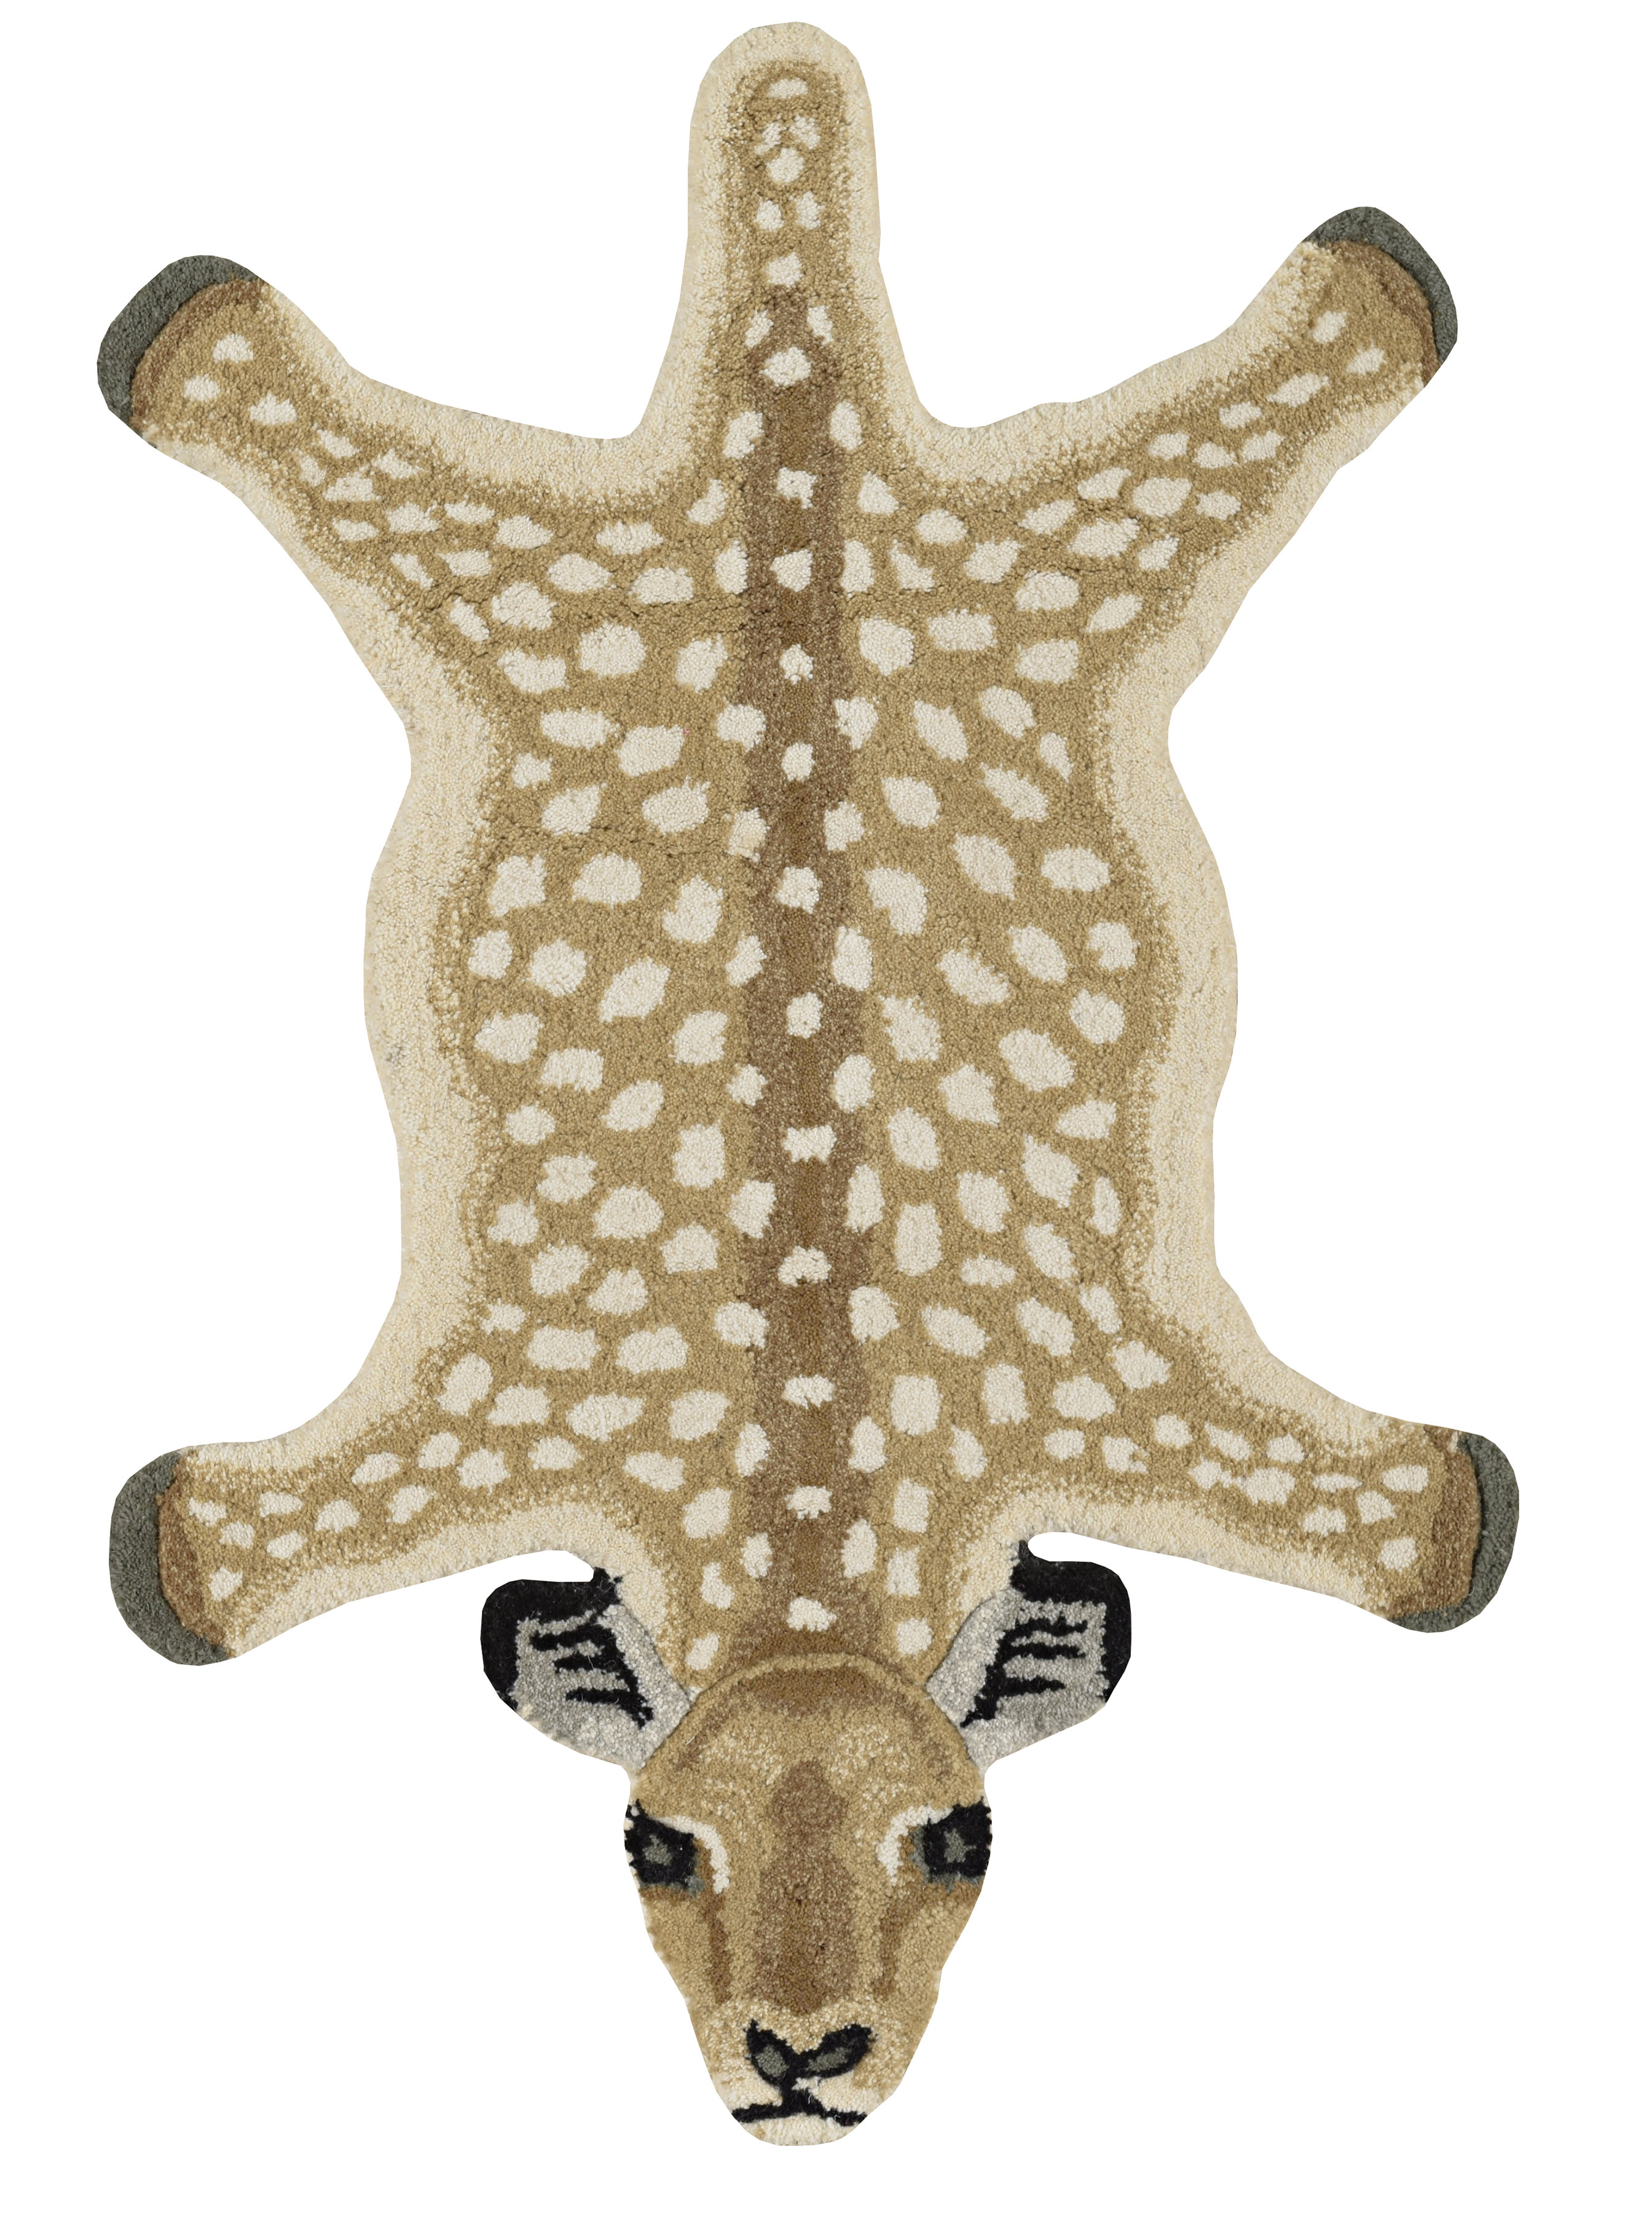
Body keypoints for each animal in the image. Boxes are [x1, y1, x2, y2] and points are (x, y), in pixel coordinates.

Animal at [101, 22, 1516, 2141]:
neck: (805, 1478)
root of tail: (791, 387)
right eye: (647, 1842)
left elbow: (1420, 1529)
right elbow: (203, 1561)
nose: (801, 2062)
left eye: (962, 1837)